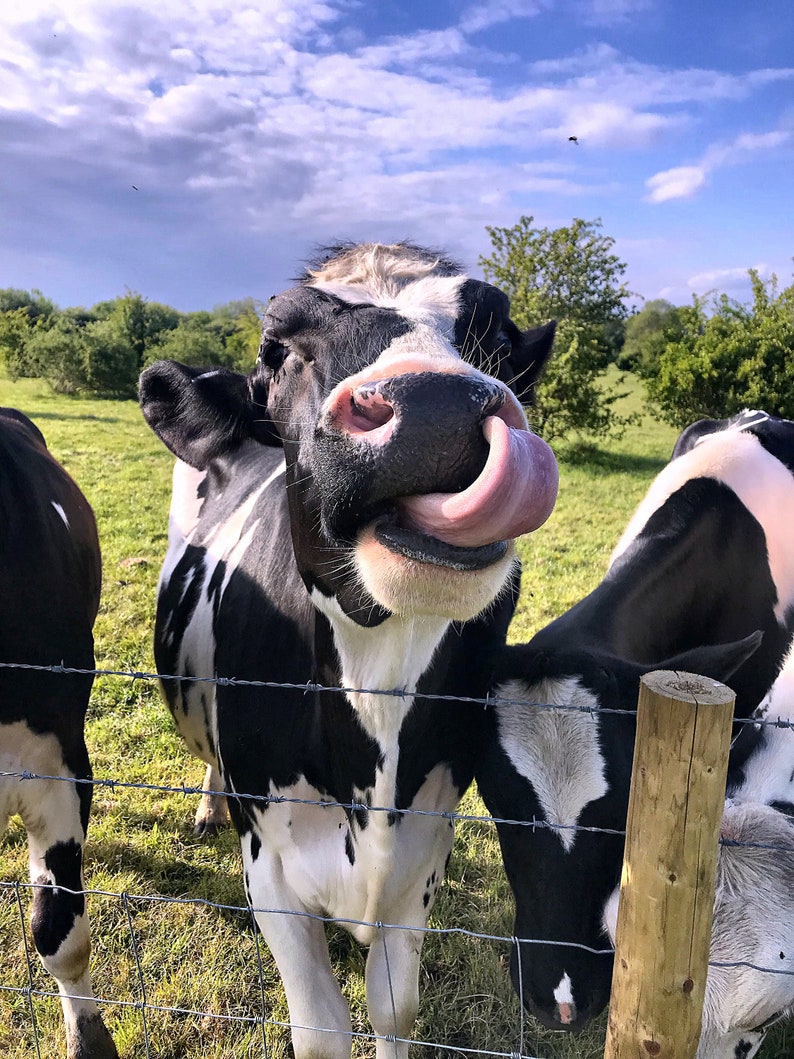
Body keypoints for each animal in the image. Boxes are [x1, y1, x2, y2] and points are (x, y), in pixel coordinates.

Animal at [138, 241, 559, 1059]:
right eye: (277, 349)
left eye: (494, 334)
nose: (435, 409)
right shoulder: (270, 868)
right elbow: (323, 1030)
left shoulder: (423, 851)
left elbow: (394, 1007)